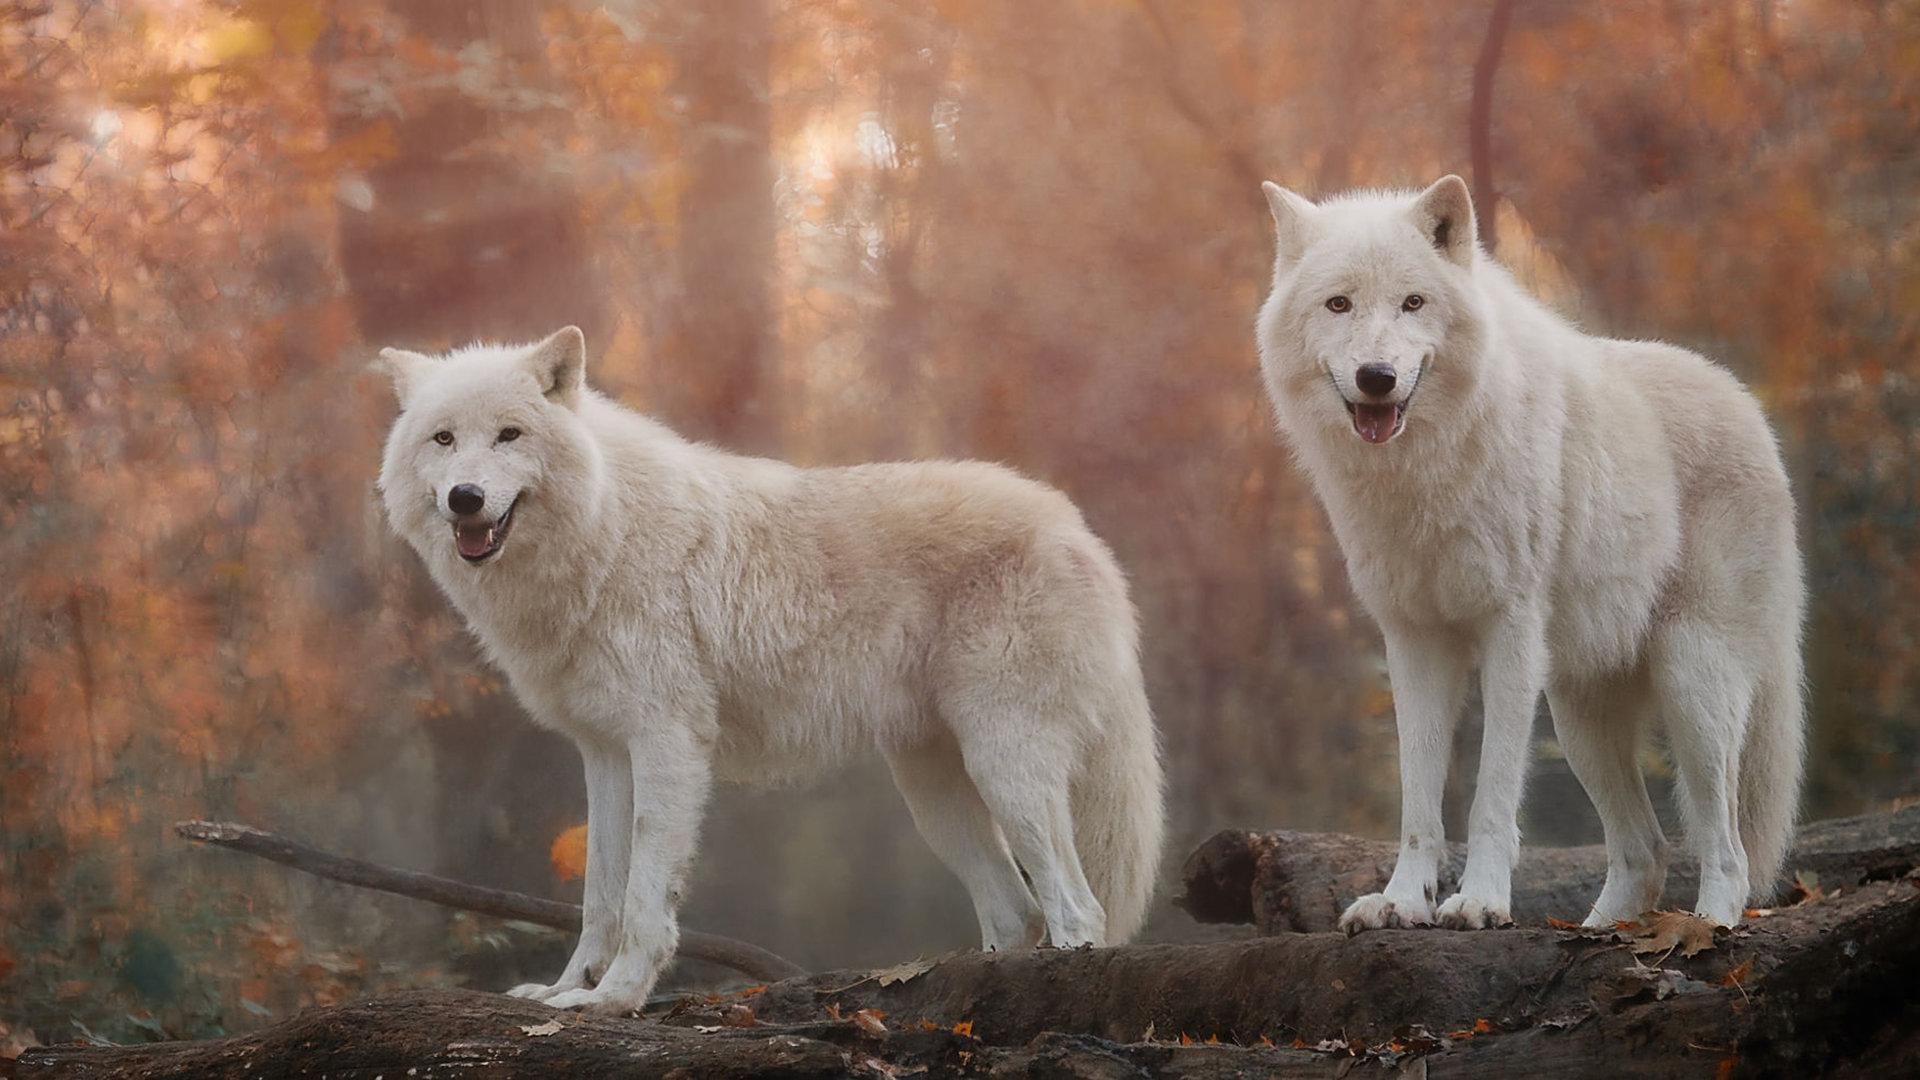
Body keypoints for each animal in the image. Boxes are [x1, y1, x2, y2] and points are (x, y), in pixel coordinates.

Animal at [373, 327, 1164, 1012]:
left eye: (510, 434)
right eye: (443, 439)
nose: (466, 498)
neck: (606, 530)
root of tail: (1077, 529)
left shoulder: (668, 744)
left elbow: (643, 897)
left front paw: (615, 1000)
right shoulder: (604, 752)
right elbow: (599, 894)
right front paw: (568, 991)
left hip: (1006, 765)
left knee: (1078, 909)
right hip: (936, 795)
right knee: (1014, 911)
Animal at [1254, 176, 1805, 931]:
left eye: (1412, 302)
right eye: (1339, 304)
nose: (1376, 375)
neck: (1424, 475)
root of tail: (1750, 410)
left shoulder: (1509, 630)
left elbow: (1490, 795)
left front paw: (1480, 900)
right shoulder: (1413, 639)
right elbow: (1419, 801)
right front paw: (1402, 901)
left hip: (1693, 683)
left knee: (1727, 848)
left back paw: (1706, 927)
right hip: (1581, 718)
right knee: (1647, 850)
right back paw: (1602, 931)